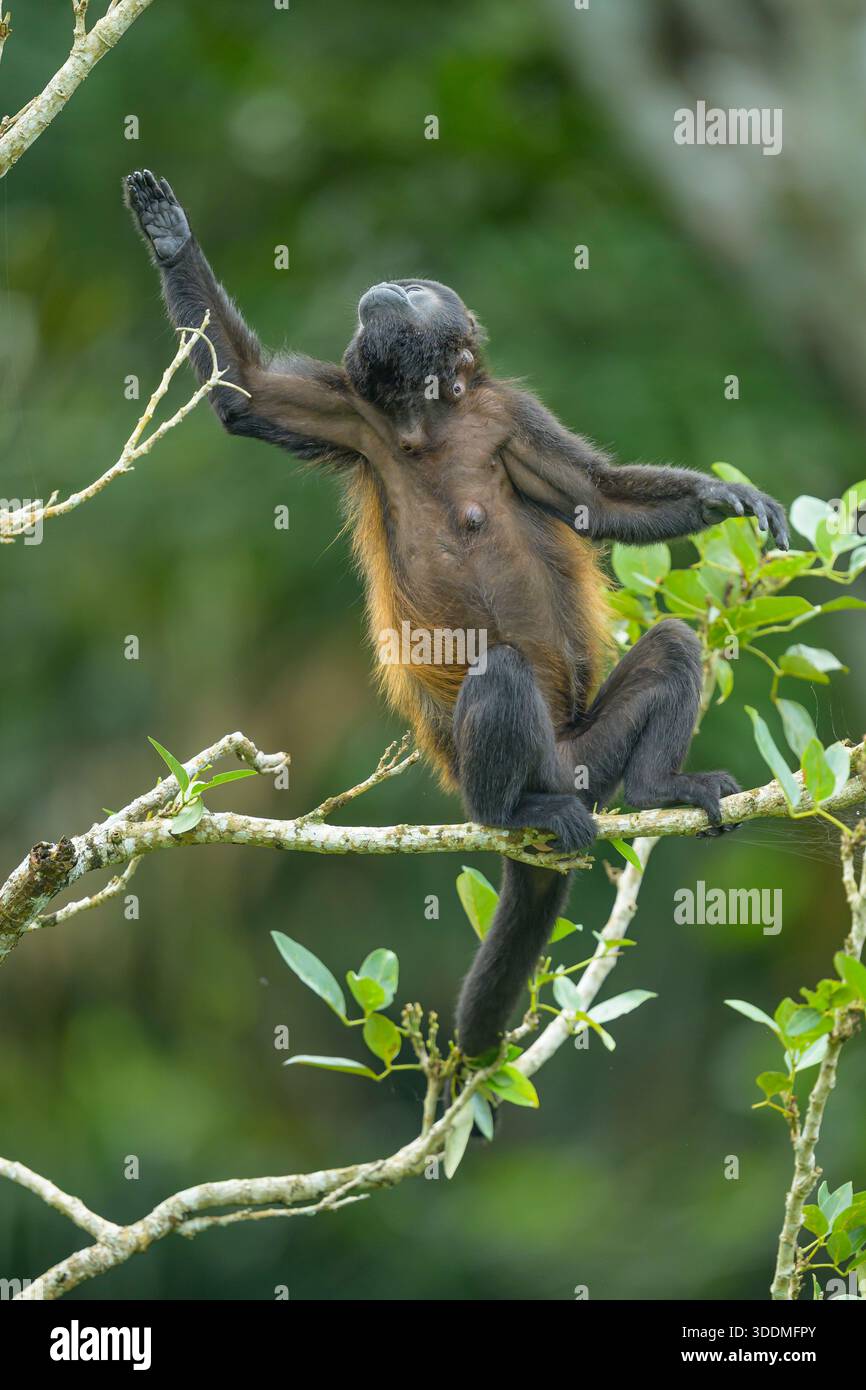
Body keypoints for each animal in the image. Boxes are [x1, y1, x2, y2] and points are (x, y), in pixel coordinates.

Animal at [124, 170, 789, 1059]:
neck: (425, 414)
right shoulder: (353, 412)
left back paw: (655, 789)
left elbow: (598, 498)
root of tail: (564, 769)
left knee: (675, 645)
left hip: (593, 752)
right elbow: (247, 393)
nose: (393, 281)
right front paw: (169, 235)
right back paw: (509, 811)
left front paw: (725, 497)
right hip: (543, 763)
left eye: (419, 291)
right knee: (502, 677)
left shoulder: (509, 420)